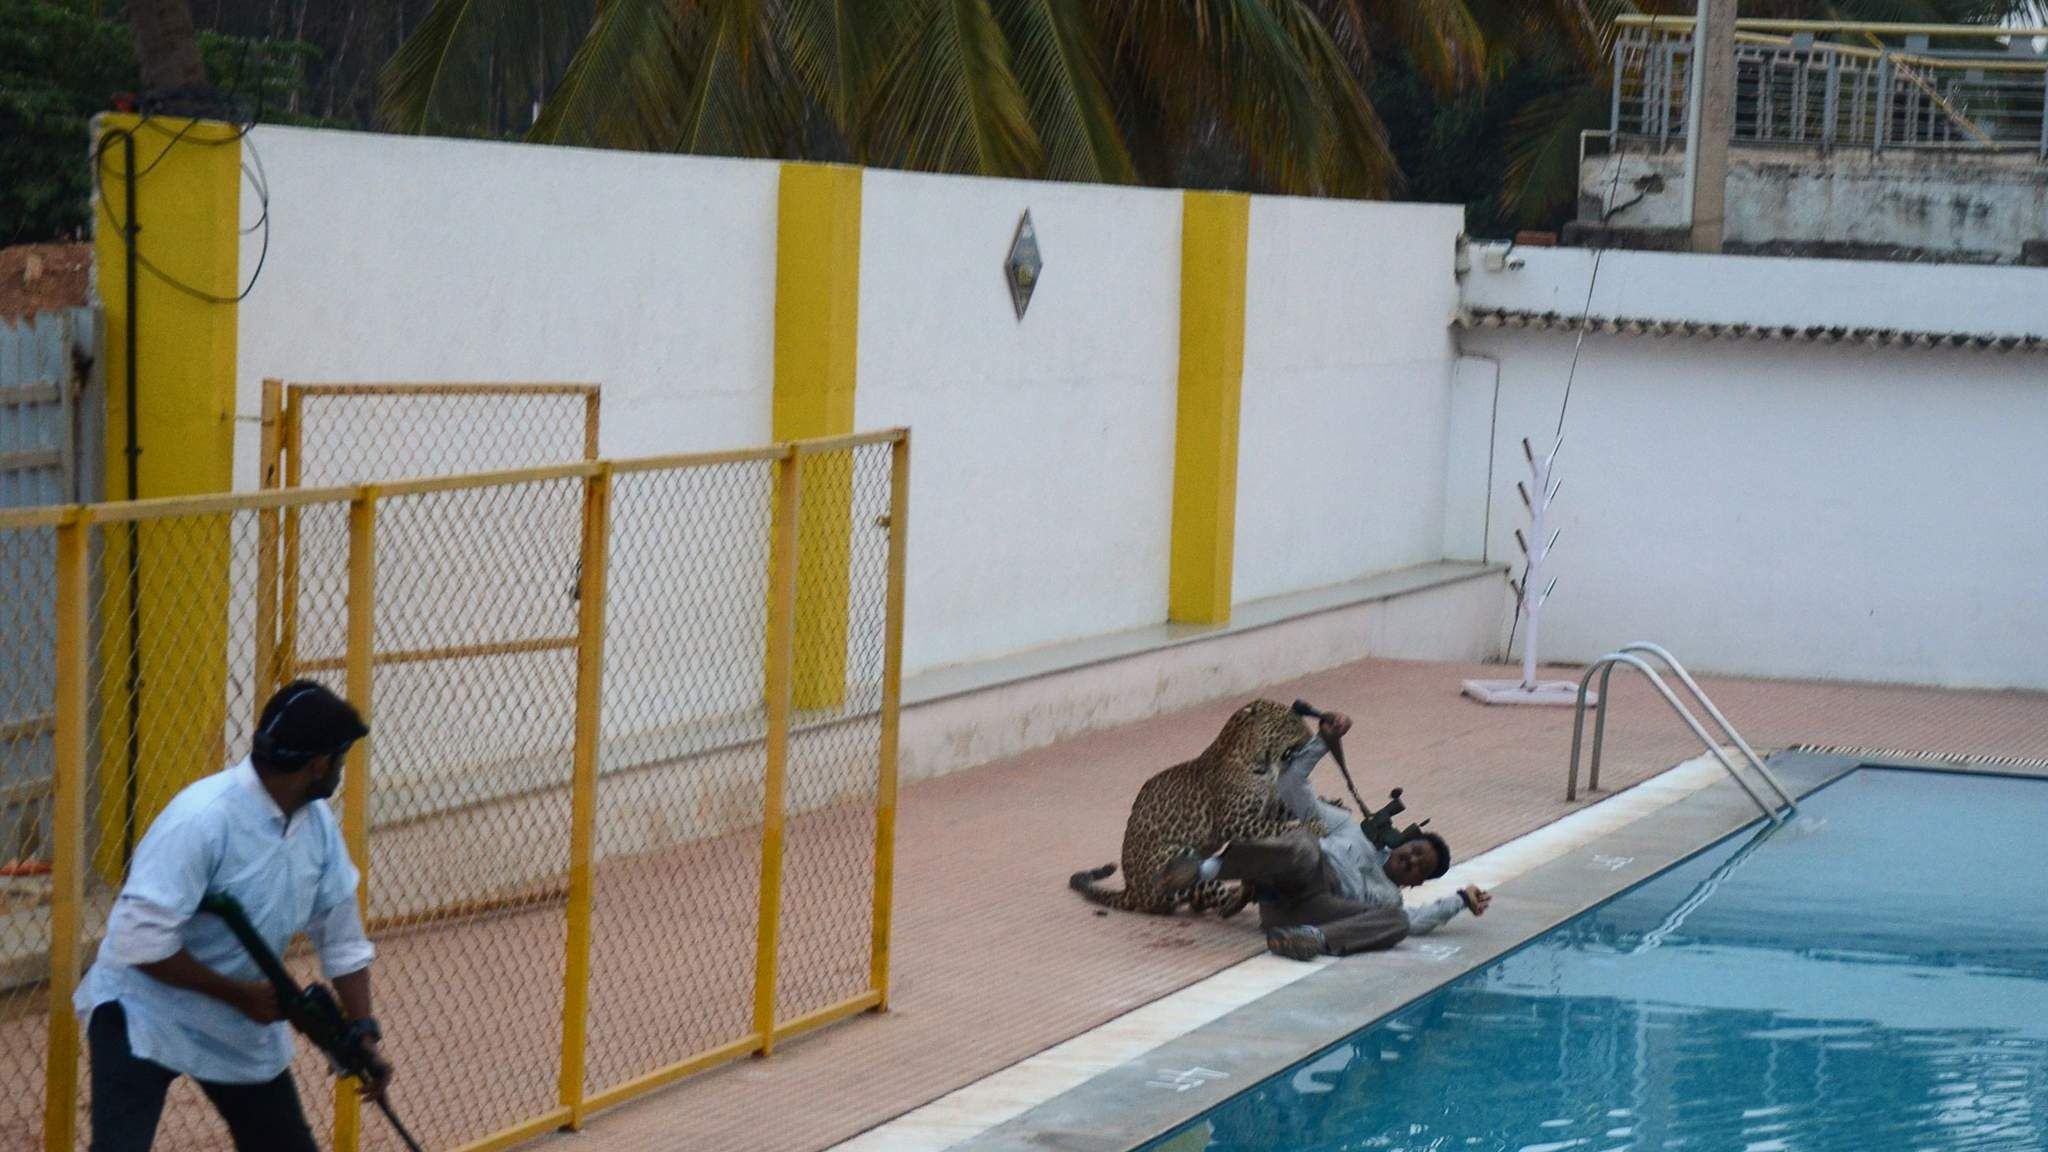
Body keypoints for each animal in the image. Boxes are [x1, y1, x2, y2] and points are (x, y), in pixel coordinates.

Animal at [1069, 698, 1331, 917]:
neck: (1260, 763)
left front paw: (1328, 803)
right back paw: (1242, 892)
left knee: (1201, 900)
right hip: (1177, 859)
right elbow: (1278, 828)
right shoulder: (1236, 820)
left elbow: (1285, 810)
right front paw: (1315, 826)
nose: (1311, 736)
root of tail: (1131, 891)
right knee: (1220, 902)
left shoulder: (1267, 805)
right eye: (1290, 723)